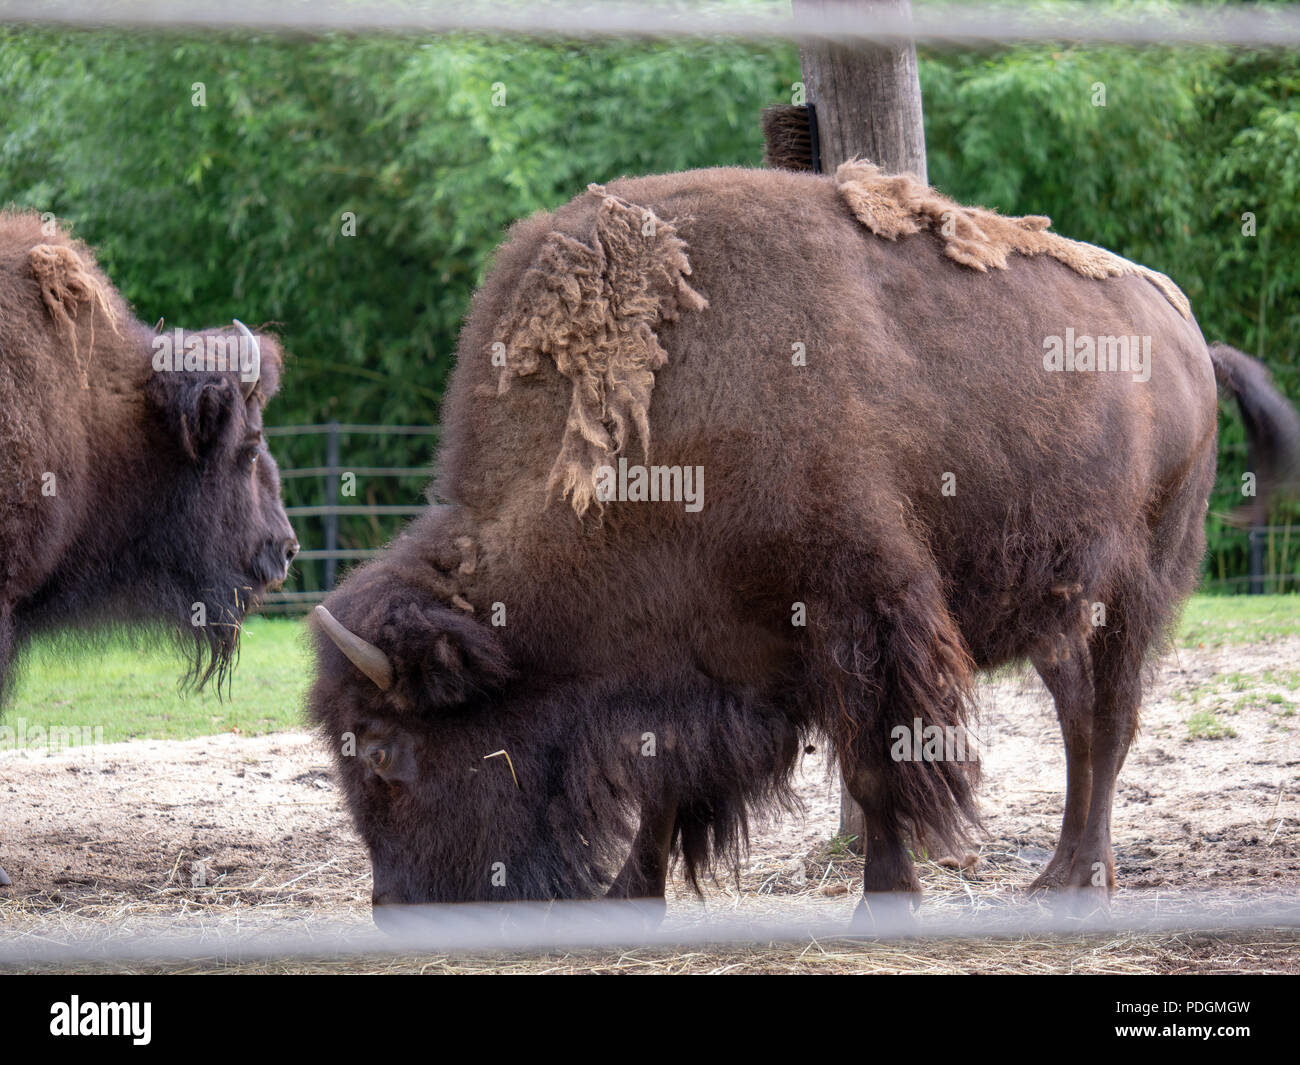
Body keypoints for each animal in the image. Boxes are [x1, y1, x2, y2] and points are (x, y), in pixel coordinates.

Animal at [308, 164, 1299, 928]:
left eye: (385, 752)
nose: (395, 911)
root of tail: (1185, 330)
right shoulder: (700, 659)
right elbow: (668, 781)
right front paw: (634, 897)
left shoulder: (859, 619)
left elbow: (873, 765)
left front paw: (884, 900)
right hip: (1056, 612)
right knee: (1081, 723)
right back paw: (1056, 875)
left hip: (1134, 590)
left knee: (1112, 718)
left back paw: (1085, 880)